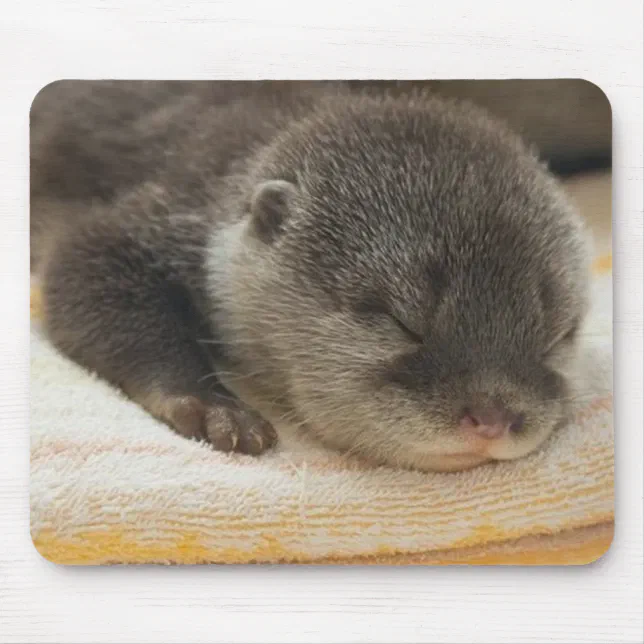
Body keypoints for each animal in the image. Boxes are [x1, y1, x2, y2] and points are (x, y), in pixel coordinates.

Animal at [30, 81, 593, 472]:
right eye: (400, 322)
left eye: (553, 338)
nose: (493, 418)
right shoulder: (166, 208)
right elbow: (80, 265)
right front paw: (214, 406)